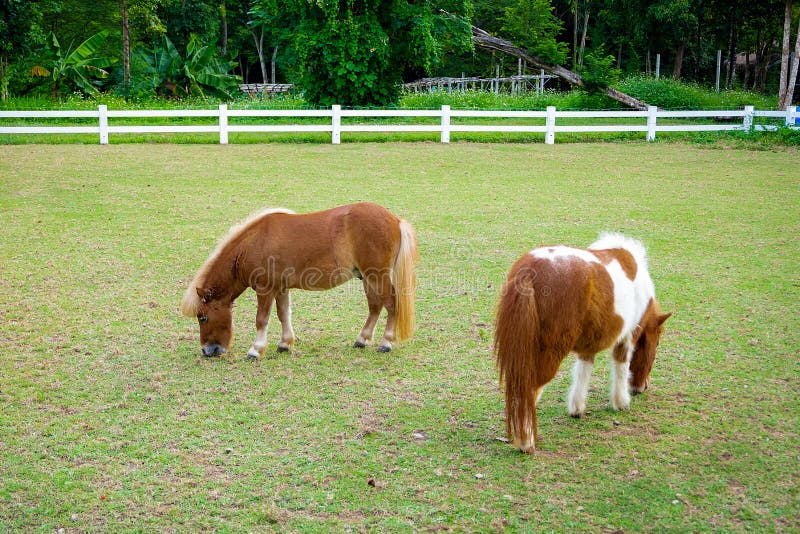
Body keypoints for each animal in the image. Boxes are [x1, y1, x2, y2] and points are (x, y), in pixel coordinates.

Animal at [181, 202, 417, 358]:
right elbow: (283, 315)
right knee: (375, 306)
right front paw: (285, 344)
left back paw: (386, 342)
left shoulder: (265, 289)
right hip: (367, 277)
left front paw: (256, 350)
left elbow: (262, 319)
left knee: (391, 304)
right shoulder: (281, 289)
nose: (207, 351)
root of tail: (394, 219)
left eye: (203, 317)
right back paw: (362, 339)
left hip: (377, 276)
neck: (253, 244)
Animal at [493, 233, 671, 453]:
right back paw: (527, 443)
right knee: (529, 392)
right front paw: (621, 402)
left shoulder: (588, 346)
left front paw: (576, 408)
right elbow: (621, 368)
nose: (642, 387)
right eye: (656, 344)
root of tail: (530, 269)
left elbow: (583, 372)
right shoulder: (627, 338)